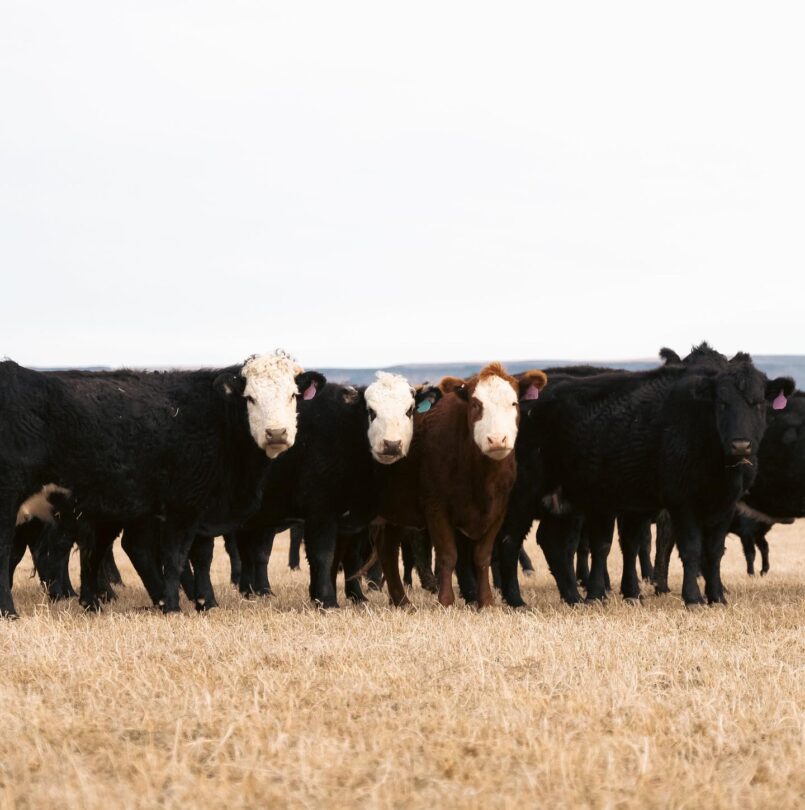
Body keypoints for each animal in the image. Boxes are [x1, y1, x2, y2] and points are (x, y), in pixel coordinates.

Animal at [0, 352, 313, 617]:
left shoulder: (201, 507)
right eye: (250, 398)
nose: (276, 433)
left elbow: (201, 557)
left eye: (293, 395)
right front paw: (174, 606)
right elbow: (175, 557)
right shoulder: (181, 508)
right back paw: (10, 611)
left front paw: (206, 602)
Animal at [373, 363, 548, 608]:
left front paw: (486, 601)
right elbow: (448, 555)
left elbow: (482, 556)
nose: (497, 440)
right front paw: (446, 601)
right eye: (476, 404)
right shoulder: (436, 509)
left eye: (514, 403)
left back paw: (401, 601)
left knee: (387, 550)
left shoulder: (498, 510)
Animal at [495, 347, 794, 607]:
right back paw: (516, 600)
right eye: (722, 403)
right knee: (509, 542)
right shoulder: (680, 502)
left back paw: (573, 598)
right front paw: (692, 598)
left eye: (758, 403)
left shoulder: (724, 504)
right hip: (523, 494)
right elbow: (689, 548)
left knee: (553, 544)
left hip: (562, 500)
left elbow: (713, 551)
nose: (740, 445)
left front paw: (717, 597)